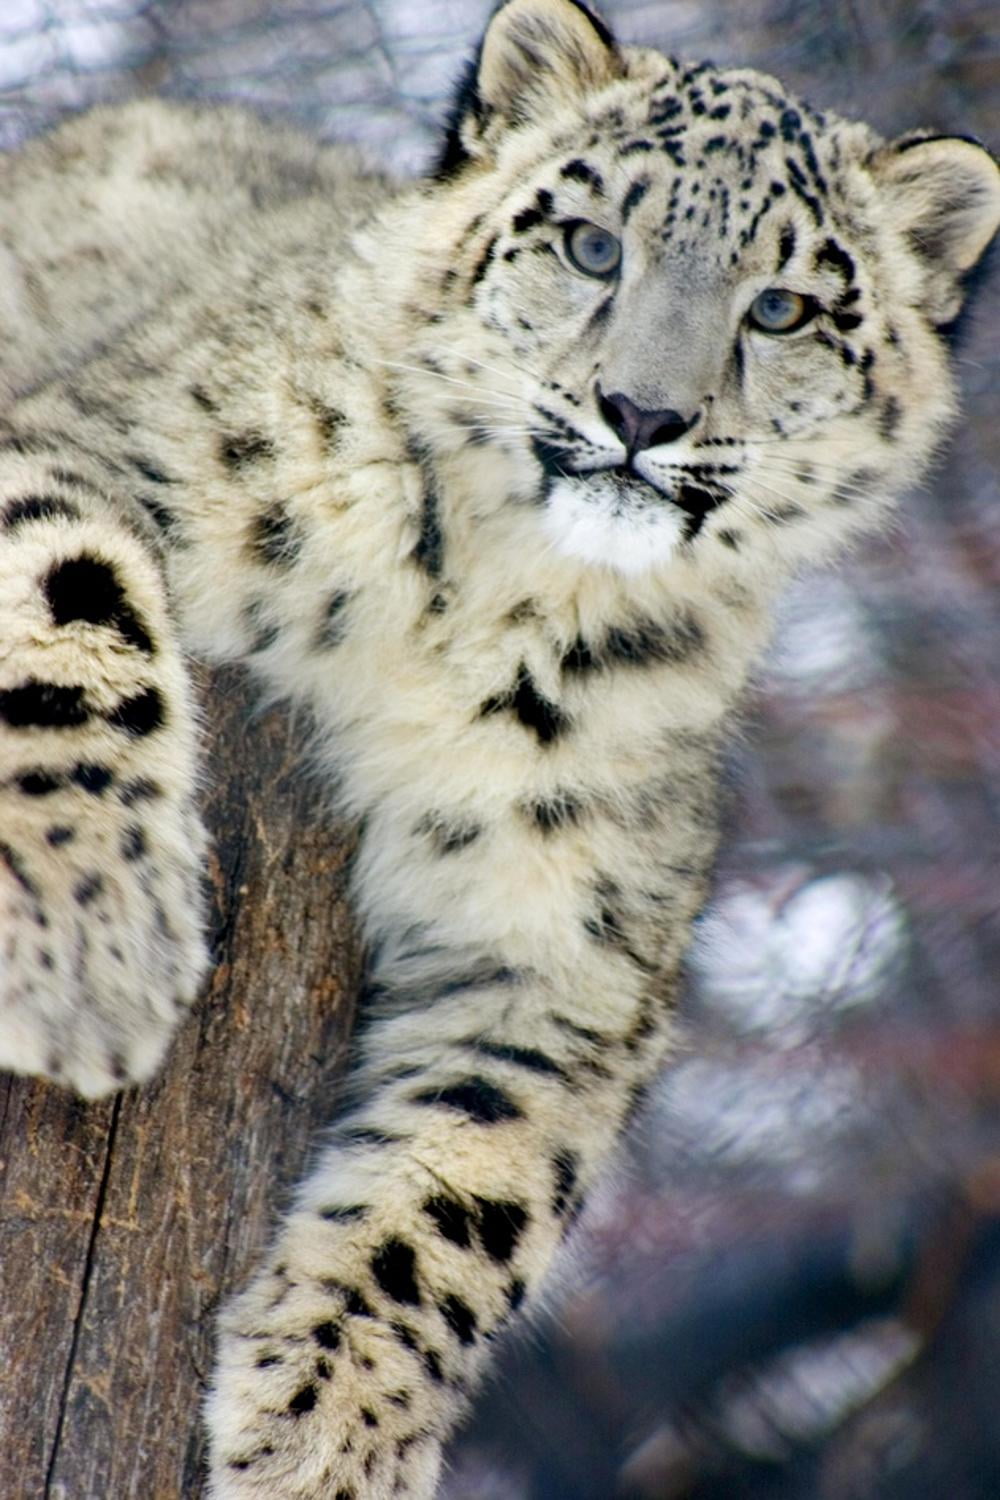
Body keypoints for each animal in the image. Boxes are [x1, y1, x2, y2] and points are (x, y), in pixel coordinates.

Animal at [0, 1, 997, 1496]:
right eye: (591, 243)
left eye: (781, 307)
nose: (642, 415)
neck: (494, 599)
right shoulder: (76, 447)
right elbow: (74, 598)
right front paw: (92, 955)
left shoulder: (568, 945)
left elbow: (471, 1189)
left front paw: (330, 1438)